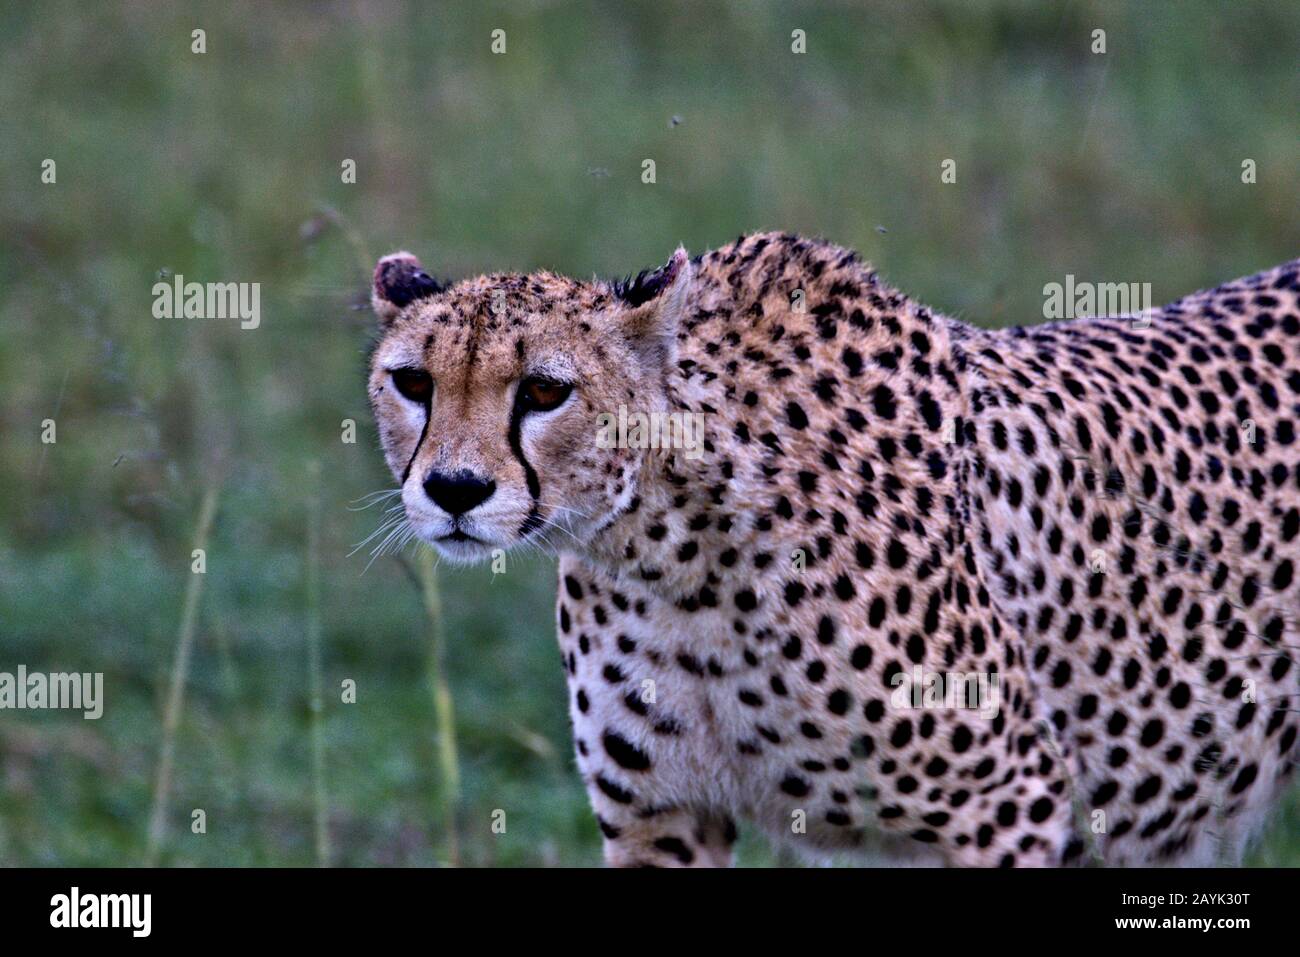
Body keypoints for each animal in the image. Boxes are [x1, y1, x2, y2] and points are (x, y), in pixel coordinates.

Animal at [366, 232, 1300, 867]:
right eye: (413, 382)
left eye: (544, 391)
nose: (453, 488)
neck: (672, 551)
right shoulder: (661, 816)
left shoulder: (1011, 803)